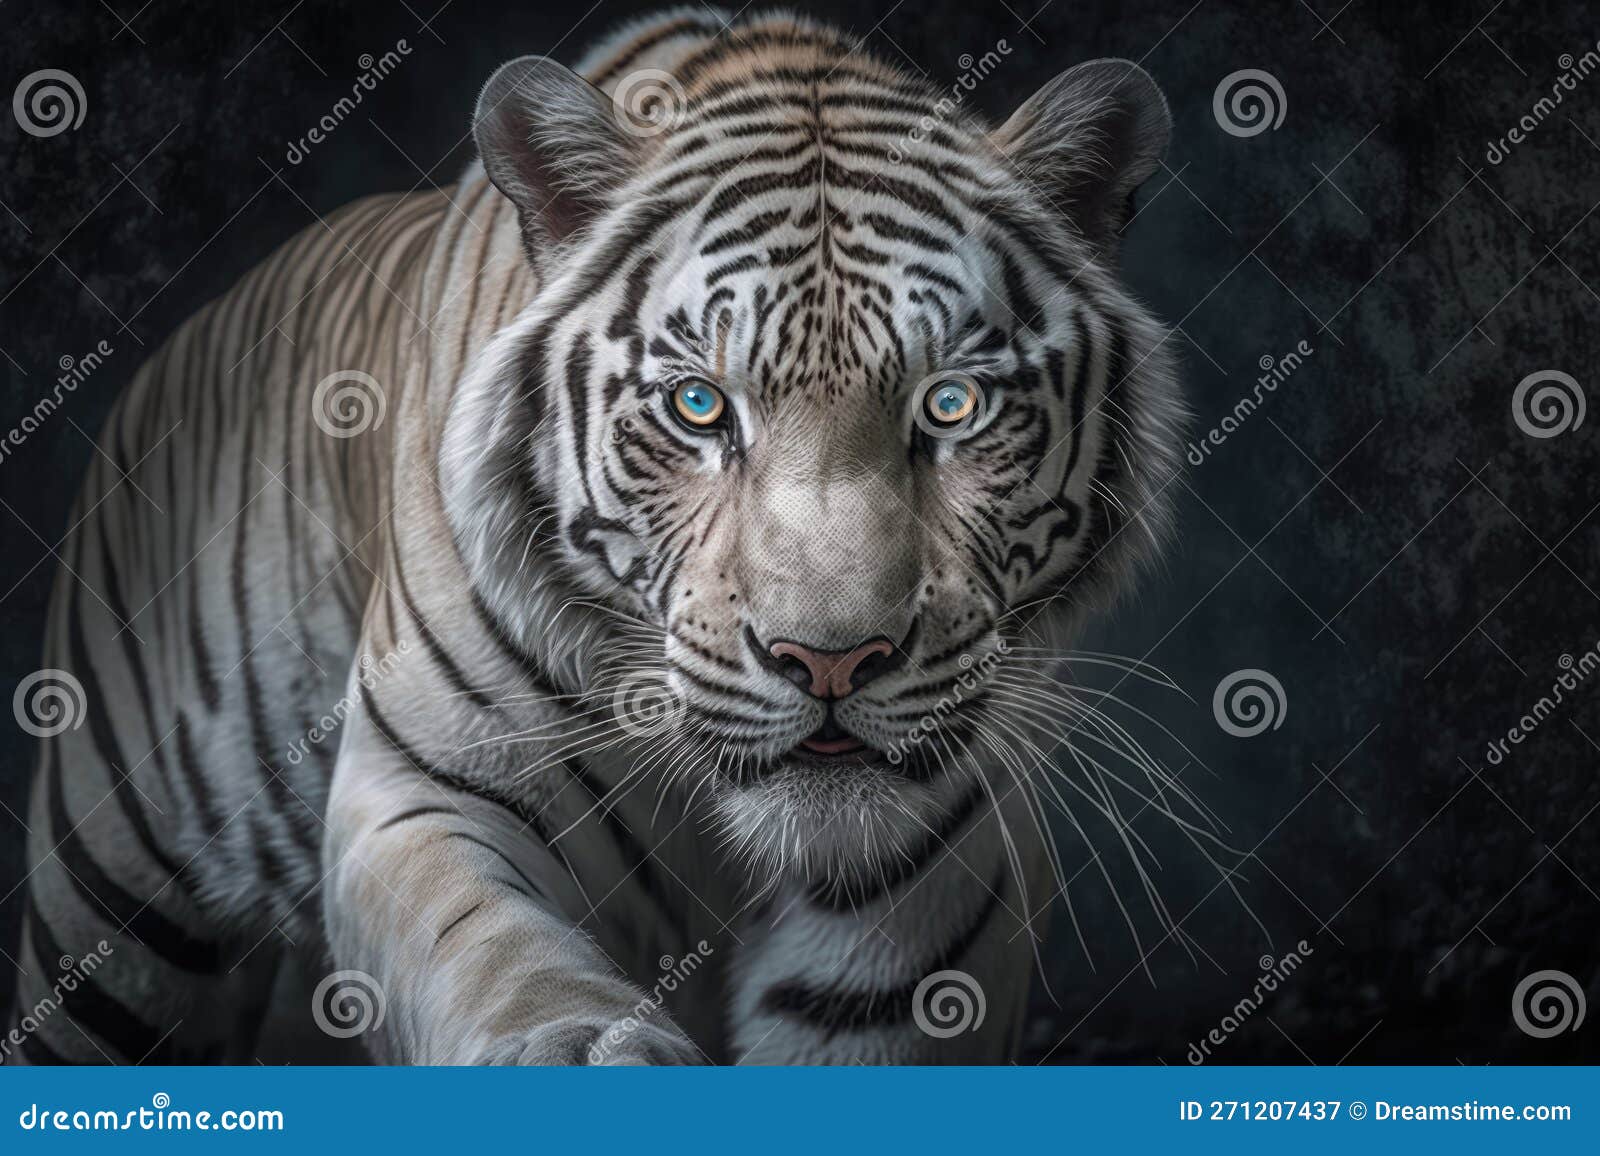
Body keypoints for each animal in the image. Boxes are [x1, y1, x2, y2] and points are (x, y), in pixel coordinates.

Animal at [7, 7, 1186, 1064]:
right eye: (700, 407)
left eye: (951, 405)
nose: (830, 661)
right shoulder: (423, 783)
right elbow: (495, 952)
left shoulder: (934, 885)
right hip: (102, 907)